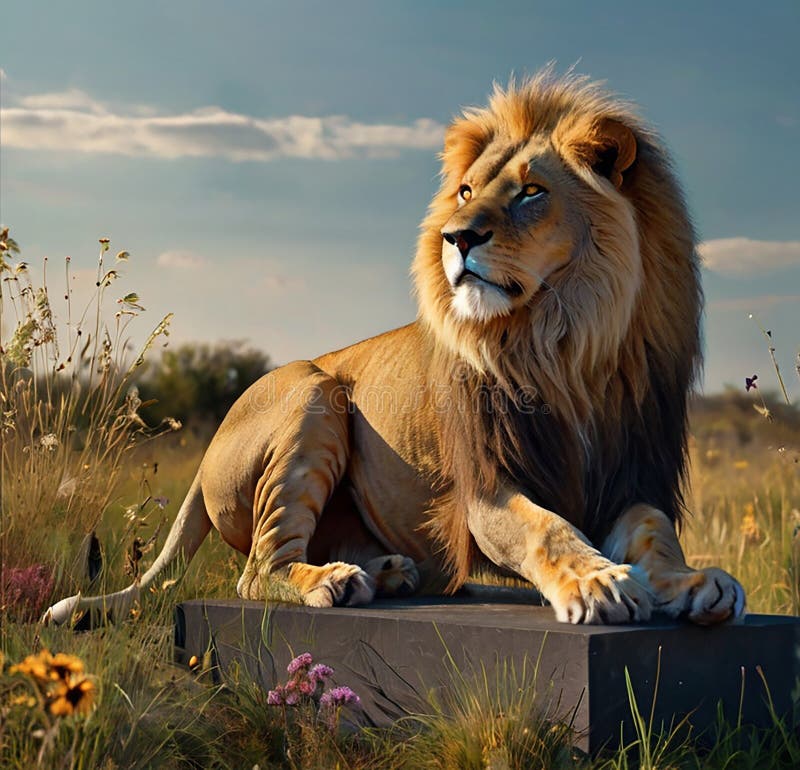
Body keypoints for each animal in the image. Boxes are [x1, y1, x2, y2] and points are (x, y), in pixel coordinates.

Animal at [45, 69, 745, 627]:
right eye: (466, 192)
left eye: (532, 192)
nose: (456, 237)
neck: (566, 343)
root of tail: (209, 444)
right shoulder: (487, 488)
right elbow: (548, 529)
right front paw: (597, 580)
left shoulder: (633, 473)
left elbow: (656, 535)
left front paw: (696, 581)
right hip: (313, 394)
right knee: (257, 570)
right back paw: (336, 582)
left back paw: (388, 571)